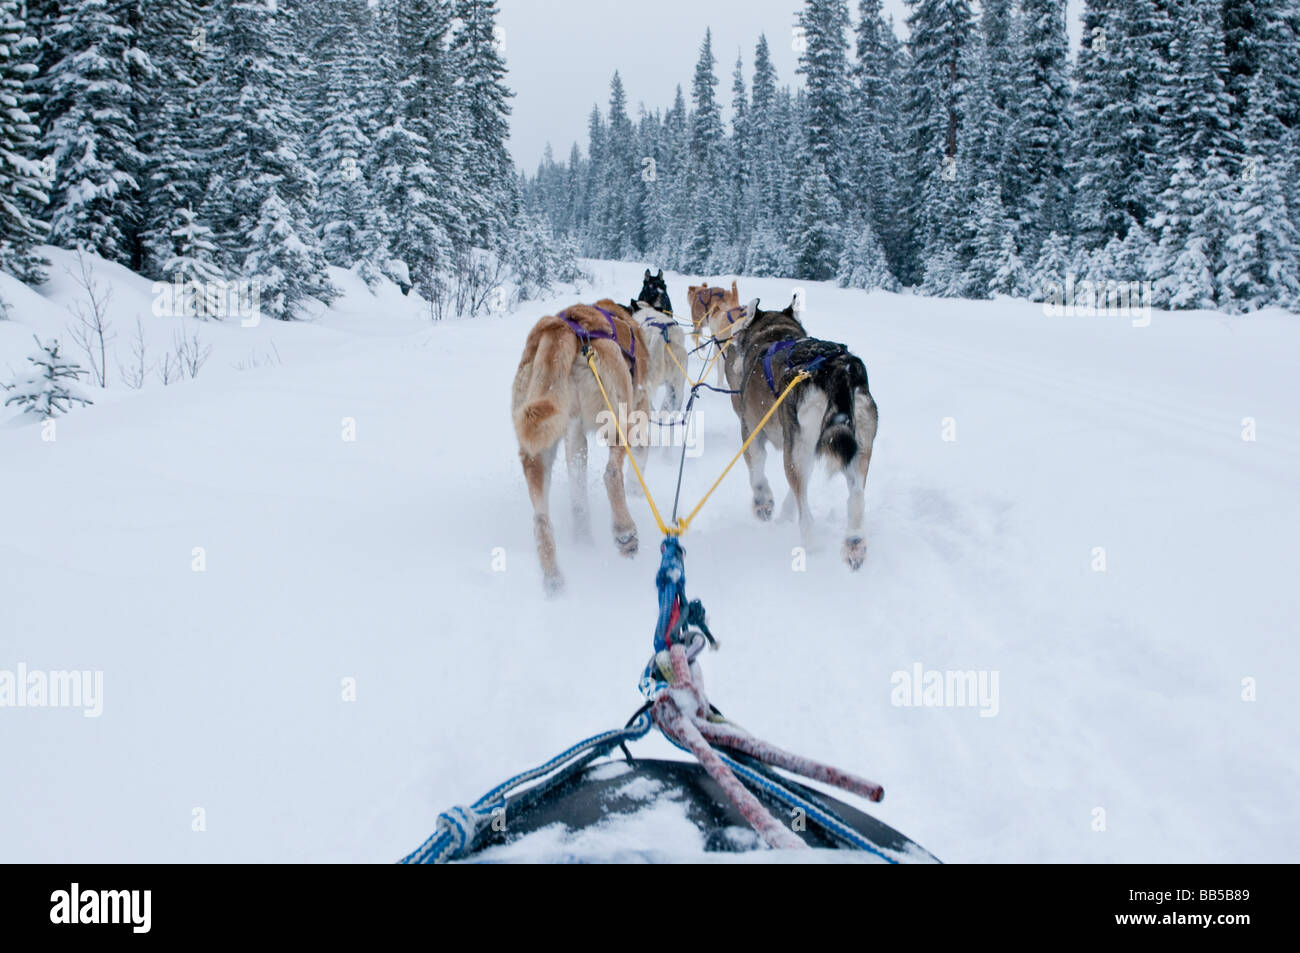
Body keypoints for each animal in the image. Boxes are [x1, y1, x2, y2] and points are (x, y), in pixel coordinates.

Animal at [509, 299, 647, 595]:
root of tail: (562, 325)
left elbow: (577, 491)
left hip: (537, 446)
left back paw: (555, 577)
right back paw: (625, 532)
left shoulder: (574, 433)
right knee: (611, 474)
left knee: (541, 520)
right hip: (618, 418)